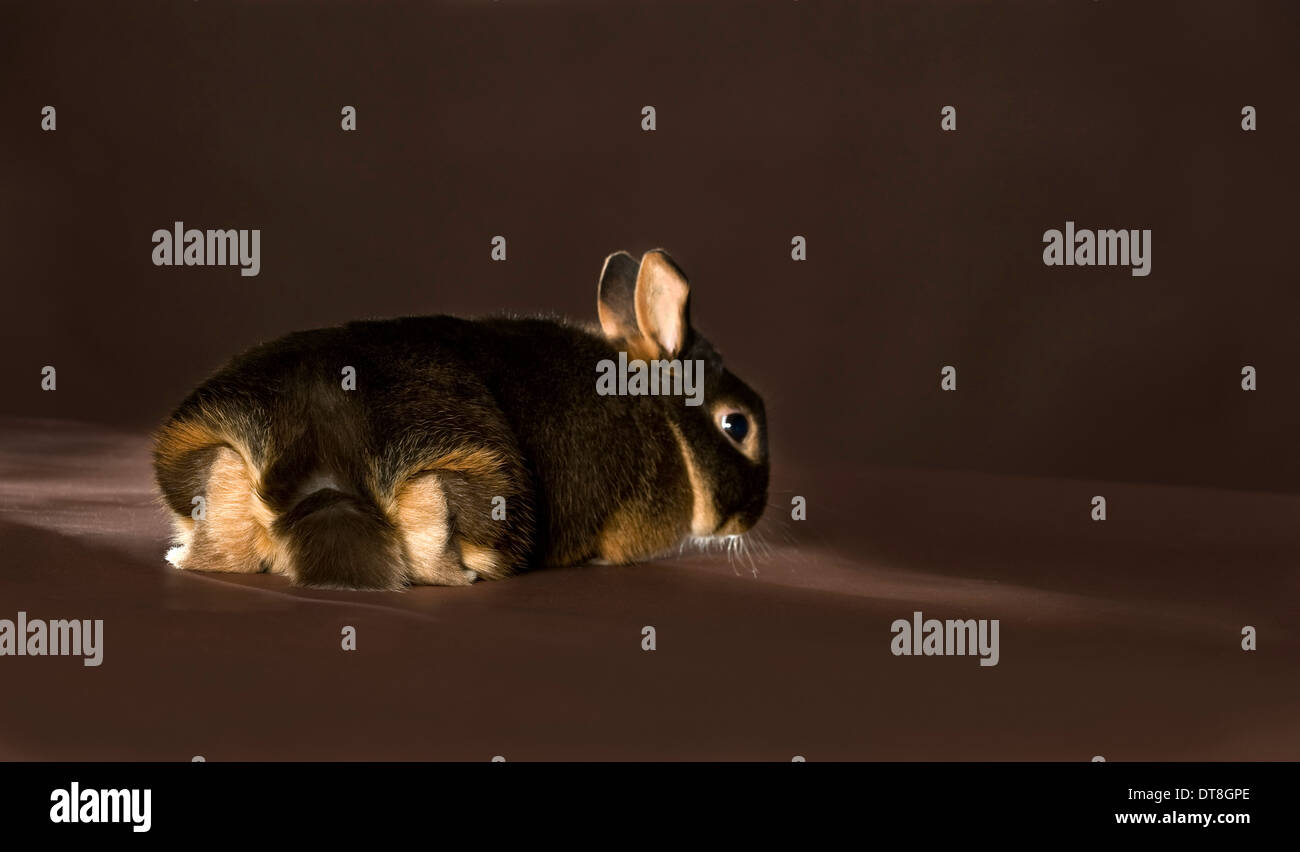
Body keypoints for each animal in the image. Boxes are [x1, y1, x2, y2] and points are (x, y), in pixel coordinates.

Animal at [152, 249, 769, 590]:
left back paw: (181, 557)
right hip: (481, 474)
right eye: (736, 425)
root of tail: (322, 475)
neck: (663, 417)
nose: (752, 518)